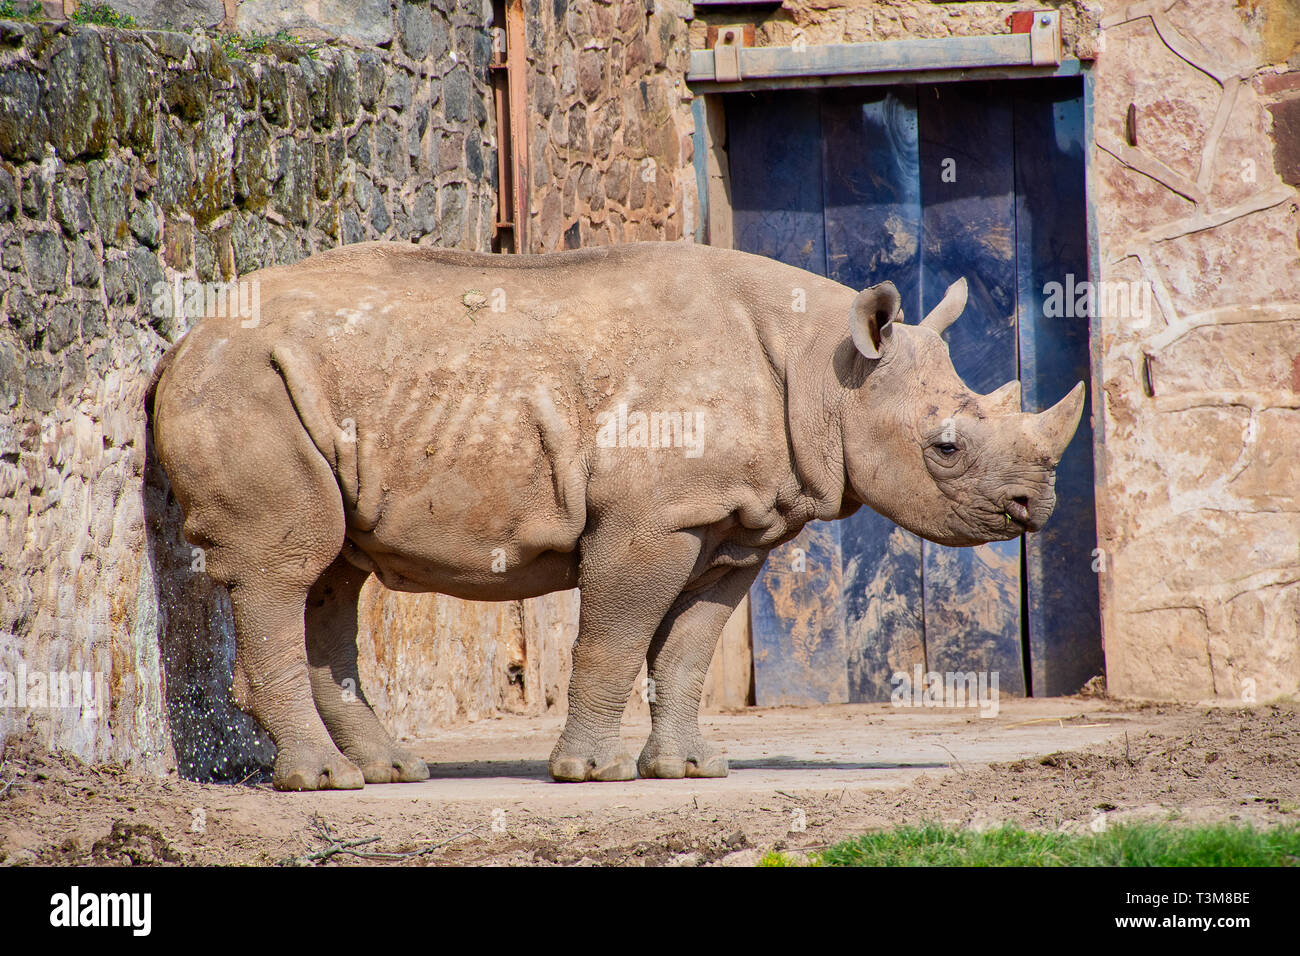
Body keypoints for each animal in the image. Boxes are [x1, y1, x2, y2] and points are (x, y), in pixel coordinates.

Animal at [148, 241, 1084, 790]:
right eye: (946, 448)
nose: (1034, 507)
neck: (828, 369)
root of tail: (180, 342)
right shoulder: (652, 520)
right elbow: (614, 635)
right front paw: (590, 774)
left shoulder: (734, 526)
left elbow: (688, 650)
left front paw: (690, 770)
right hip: (244, 384)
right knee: (285, 564)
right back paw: (323, 782)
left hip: (288, 386)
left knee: (330, 575)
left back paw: (392, 773)